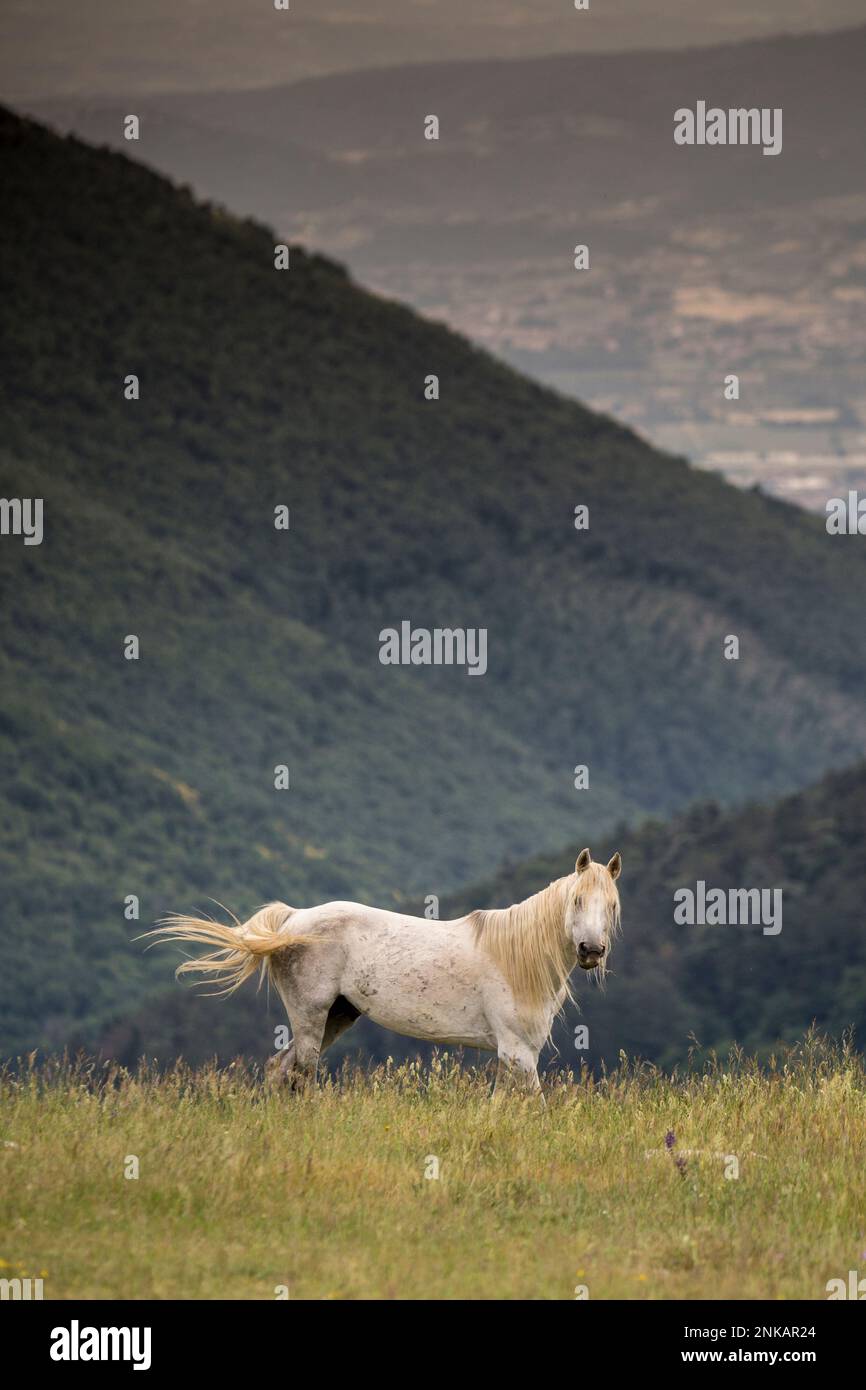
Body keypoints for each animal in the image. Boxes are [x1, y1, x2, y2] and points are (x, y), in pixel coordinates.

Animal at [144, 847, 622, 1093]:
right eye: (577, 900)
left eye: (612, 906)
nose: (591, 950)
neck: (516, 957)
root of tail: (294, 918)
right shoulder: (518, 1053)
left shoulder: (517, 1054)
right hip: (311, 1015)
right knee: (300, 1072)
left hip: (339, 1015)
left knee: (281, 1069)